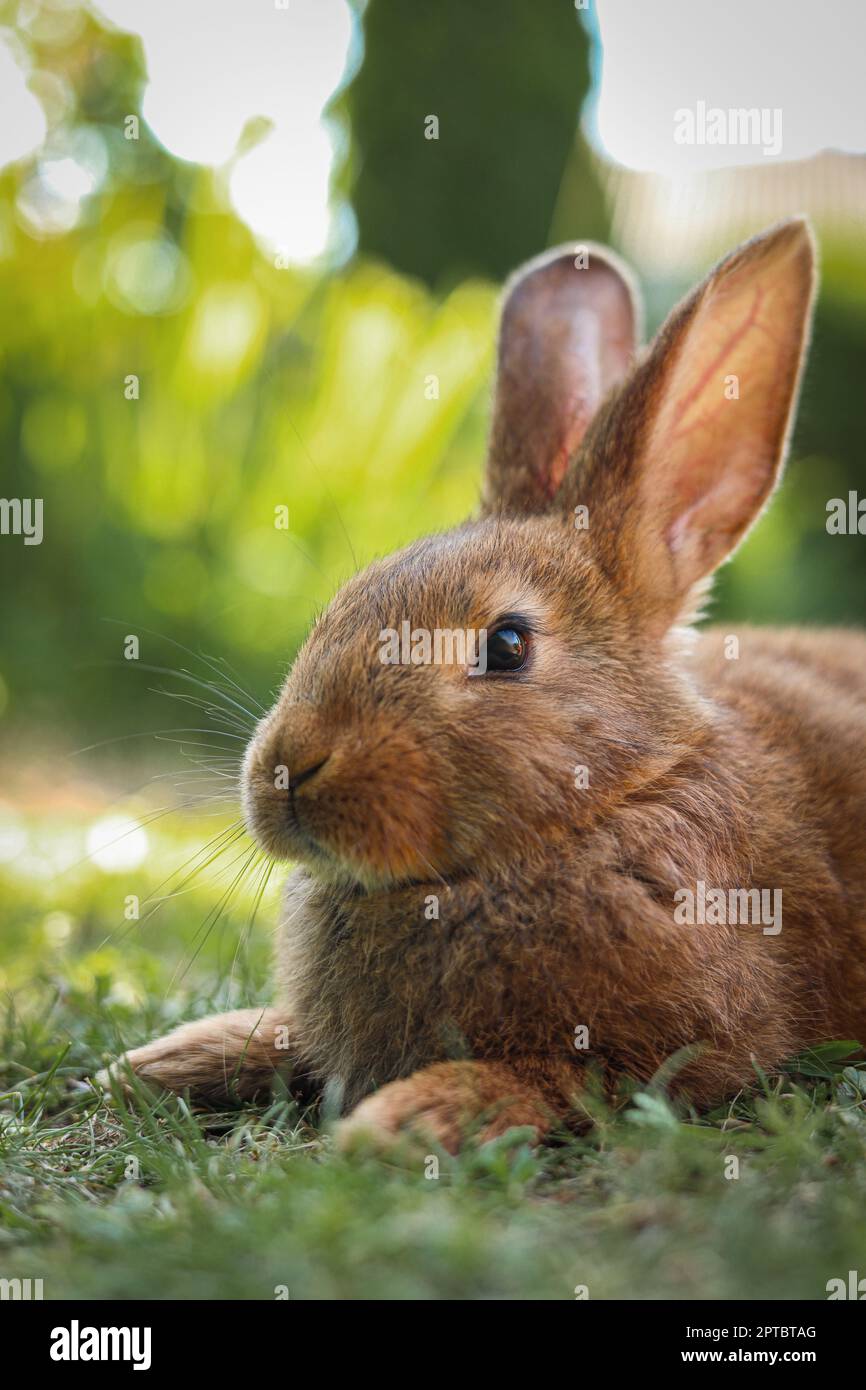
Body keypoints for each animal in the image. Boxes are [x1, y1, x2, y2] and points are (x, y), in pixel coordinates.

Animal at [104, 218, 866, 1153]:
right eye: (341, 605)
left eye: (507, 646)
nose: (288, 769)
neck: (610, 801)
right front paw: (158, 1062)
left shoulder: (667, 1049)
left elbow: (549, 1080)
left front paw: (402, 1120)